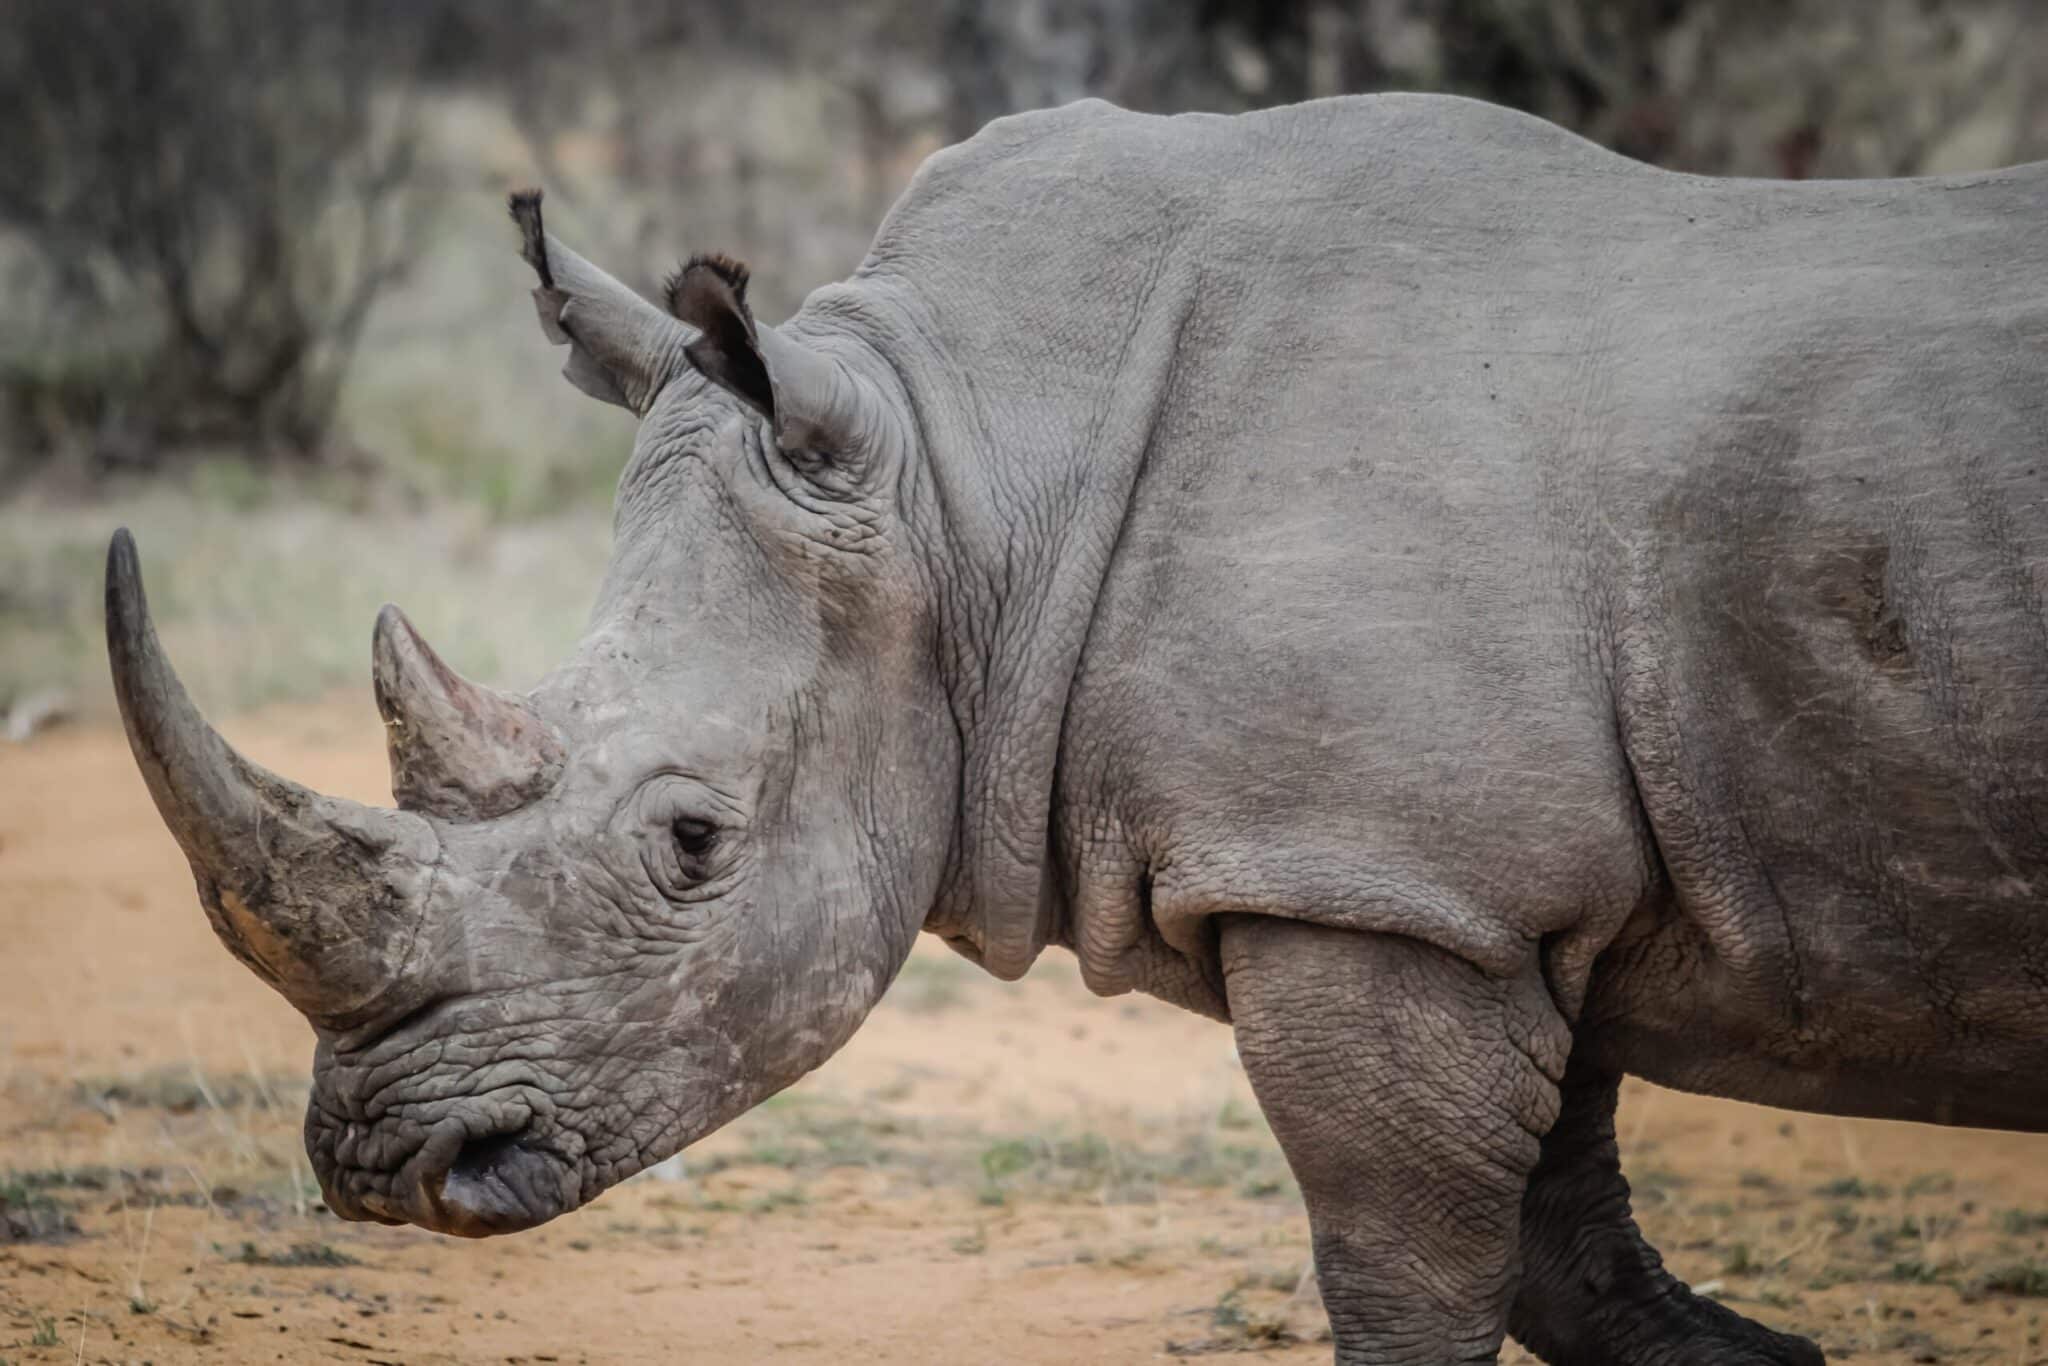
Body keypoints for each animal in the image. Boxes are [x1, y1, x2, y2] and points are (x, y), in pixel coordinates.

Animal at [105, 93, 2048, 1363]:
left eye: (691, 843)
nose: (385, 1166)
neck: (966, 472)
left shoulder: (1370, 877)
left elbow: (1413, 1263)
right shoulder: (1470, 878)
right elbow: (1559, 1228)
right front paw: (1756, 1361)